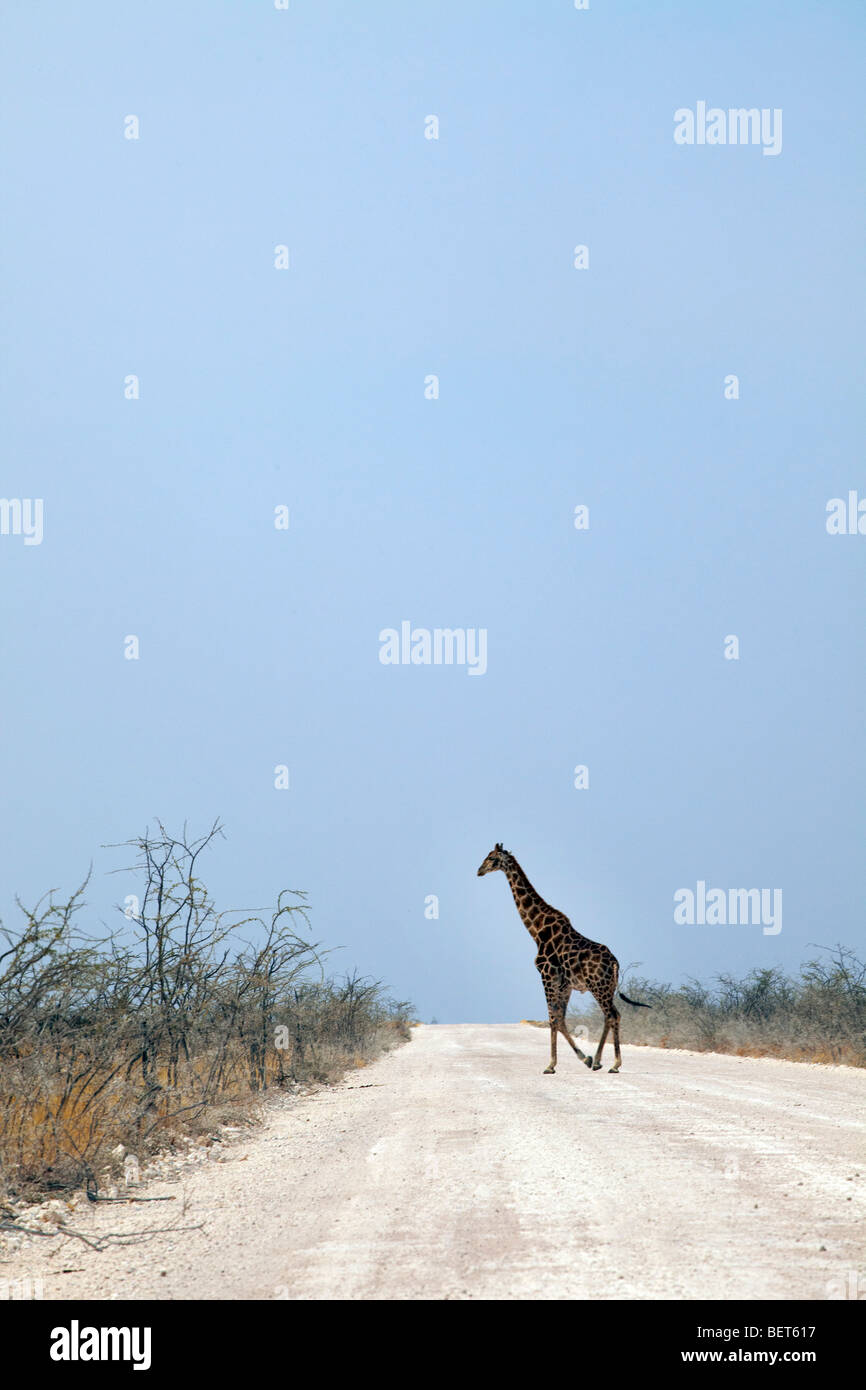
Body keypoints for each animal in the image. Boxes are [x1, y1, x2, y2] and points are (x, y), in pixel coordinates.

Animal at [477, 843, 650, 1074]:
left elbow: (553, 1019)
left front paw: (551, 1065)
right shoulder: (565, 984)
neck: (537, 931)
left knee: (613, 1015)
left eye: (491, 858)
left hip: (598, 986)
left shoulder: (547, 975)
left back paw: (614, 1064)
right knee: (610, 1015)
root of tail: (614, 962)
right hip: (606, 987)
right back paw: (598, 1061)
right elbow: (560, 1019)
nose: (479, 871)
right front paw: (585, 1059)